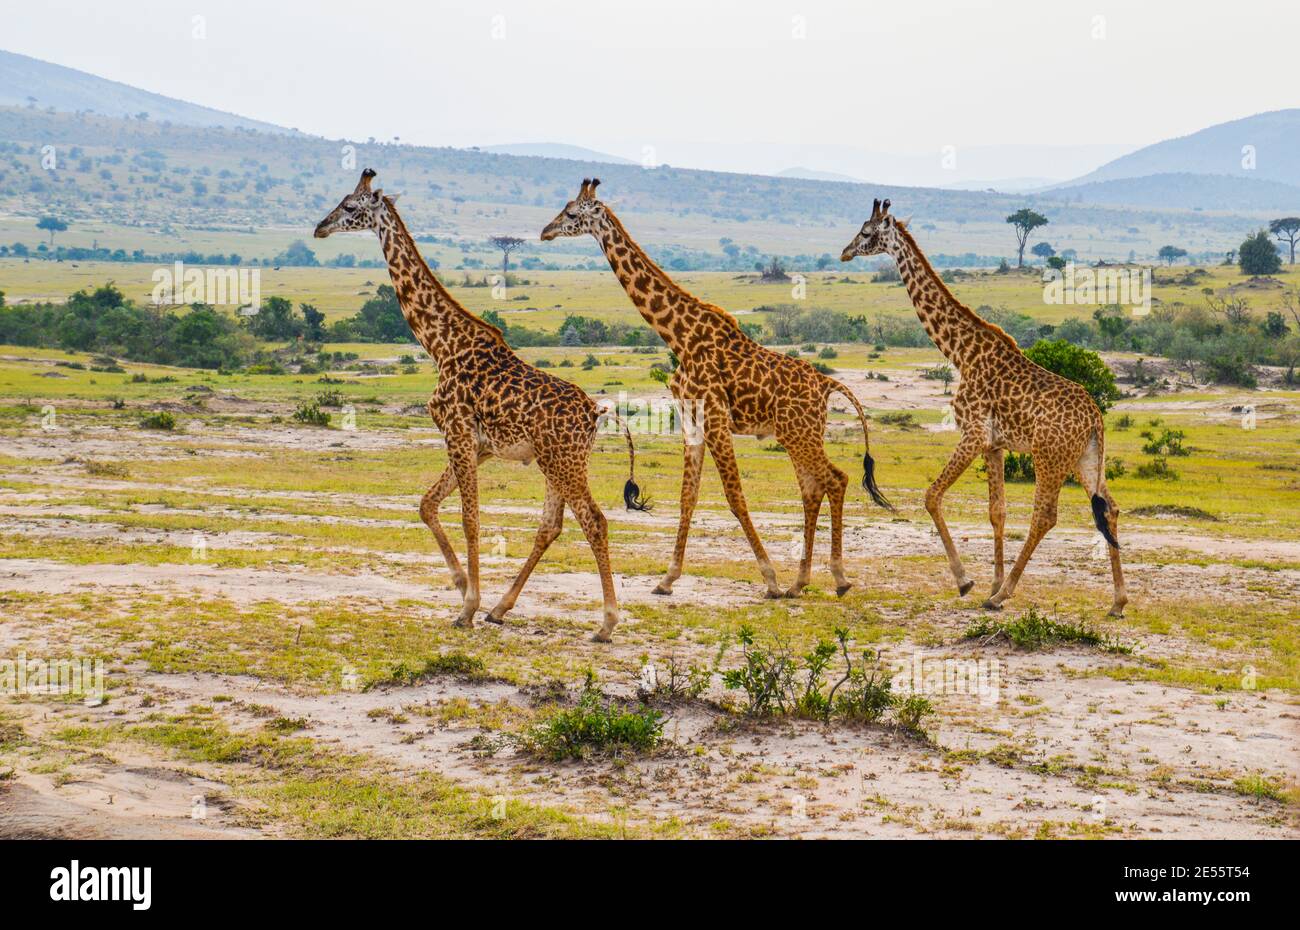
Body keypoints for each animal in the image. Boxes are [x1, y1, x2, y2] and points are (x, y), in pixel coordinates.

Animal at [315, 169, 649, 641]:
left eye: (348, 207)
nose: (319, 227)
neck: (442, 345)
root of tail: (596, 413)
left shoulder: (456, 432)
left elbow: (469, 518)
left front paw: (466, 607)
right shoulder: (479, 446)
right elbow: (427, 504)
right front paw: (461, 588)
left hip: (563, 461)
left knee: (594, 520)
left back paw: (605, 623)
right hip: (556, 462)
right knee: (552, 525)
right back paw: (501, 608)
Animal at [542, 179, 892, 599]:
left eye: (571, 213)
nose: (545, 232)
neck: (678, 336)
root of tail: (827, 382)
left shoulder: (715, 414)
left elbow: (734, 494)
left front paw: (769, 579)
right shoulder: (692, 418)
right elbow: (687, 496)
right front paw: (667, 579)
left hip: (801, 433)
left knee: (834, 480)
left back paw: (836, 579)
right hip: (797, 434)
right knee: (813, 488)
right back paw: (801, 582)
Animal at [841, 198, 1126, 616]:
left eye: (865, 232)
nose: (844, 253)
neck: (961, 354)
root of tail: (1095, 418)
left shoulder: (973, 434)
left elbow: (931, 496)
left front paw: (968, 582)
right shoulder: (995, 445)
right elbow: (997, 512)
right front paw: (988, 580)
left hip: (1050, 456)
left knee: (1046, 516)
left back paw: (1003, 595)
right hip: (1087, 458)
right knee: (1110, 508)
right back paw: (1118, 601)